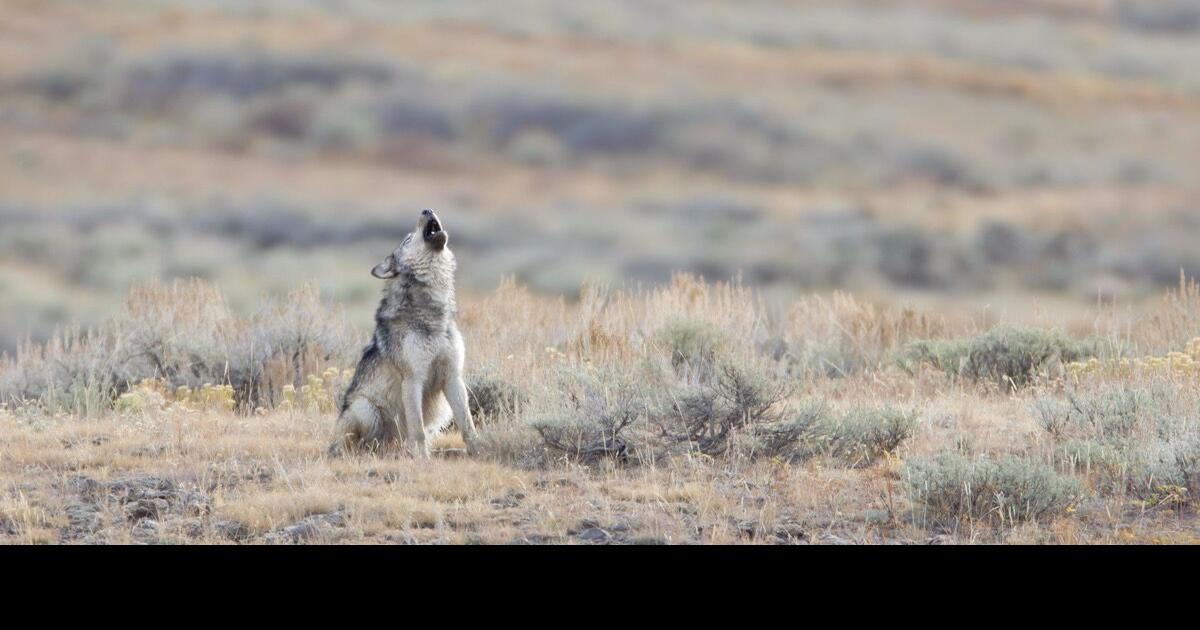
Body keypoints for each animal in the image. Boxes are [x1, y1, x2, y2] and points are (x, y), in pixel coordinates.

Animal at [328, 209, 479, 458]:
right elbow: (417, 430)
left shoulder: (453, 377)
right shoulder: (412, 379)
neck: (431, 313)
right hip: (365, 408)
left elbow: (468, 425)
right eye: (407, 239)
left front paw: (480, 450)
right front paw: (423, 461)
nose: (427, 209)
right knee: (366, 445)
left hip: (441, 411)